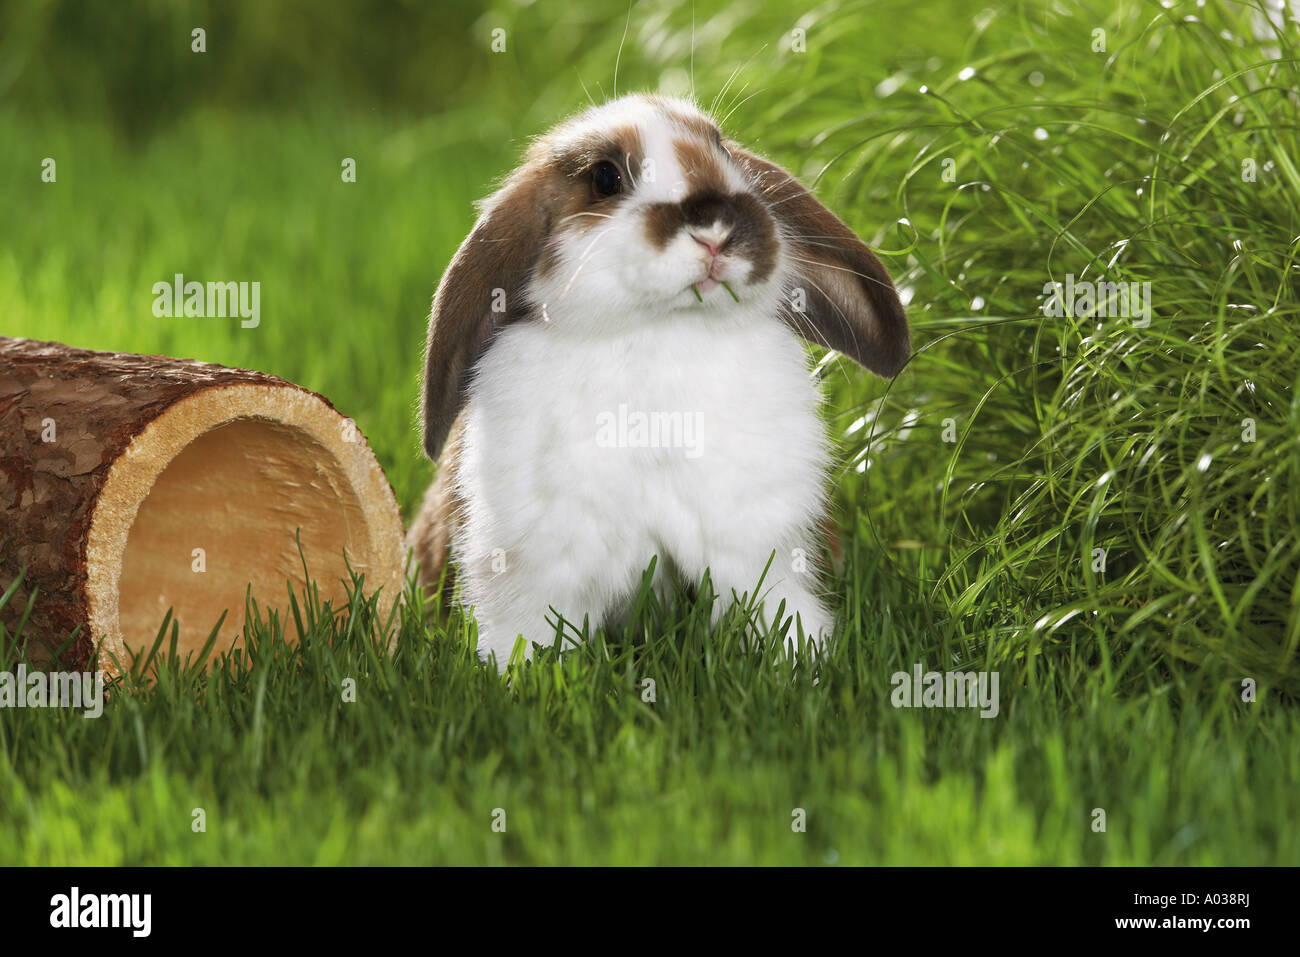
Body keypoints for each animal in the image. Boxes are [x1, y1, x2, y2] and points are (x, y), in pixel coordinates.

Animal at [407, 93, 909, 669]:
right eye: (605, 177)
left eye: (722, 150)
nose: (715, 228)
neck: (660, 330)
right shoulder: (538, 569)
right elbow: (528, 634)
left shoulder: (755, 547)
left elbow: (779, 609)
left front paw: (806, 659)